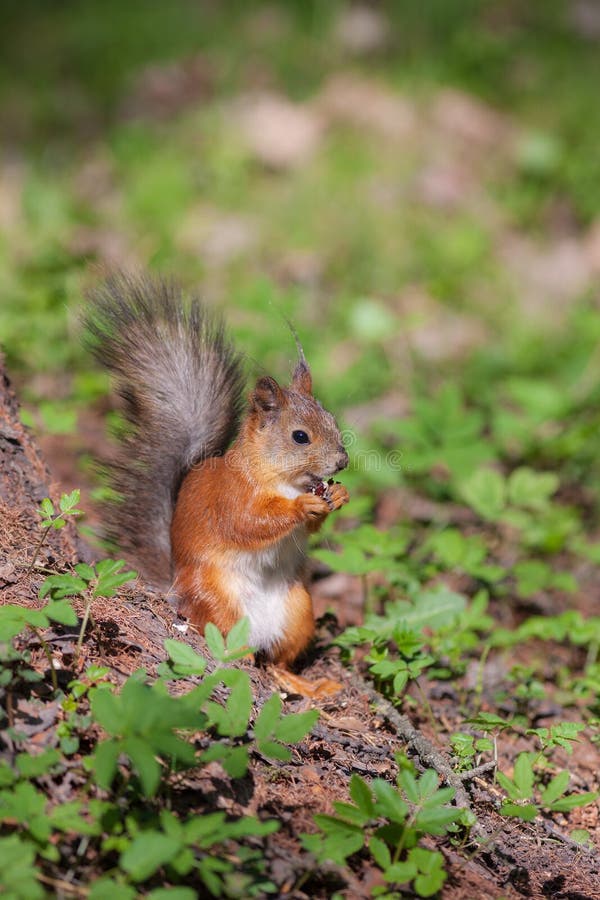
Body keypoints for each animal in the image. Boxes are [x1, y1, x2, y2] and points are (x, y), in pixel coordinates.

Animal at [84, 273, 349, 668]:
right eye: (300, 437)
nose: (342, 461)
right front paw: (302, 507)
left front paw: (339, 495)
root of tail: (174, 587)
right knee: (230, 642)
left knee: (277, 659)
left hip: (298, 609)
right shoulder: (230, 495)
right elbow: (248, 523)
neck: (282, 479)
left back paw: (295, 677)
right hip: (217, 599)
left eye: (332, 420)